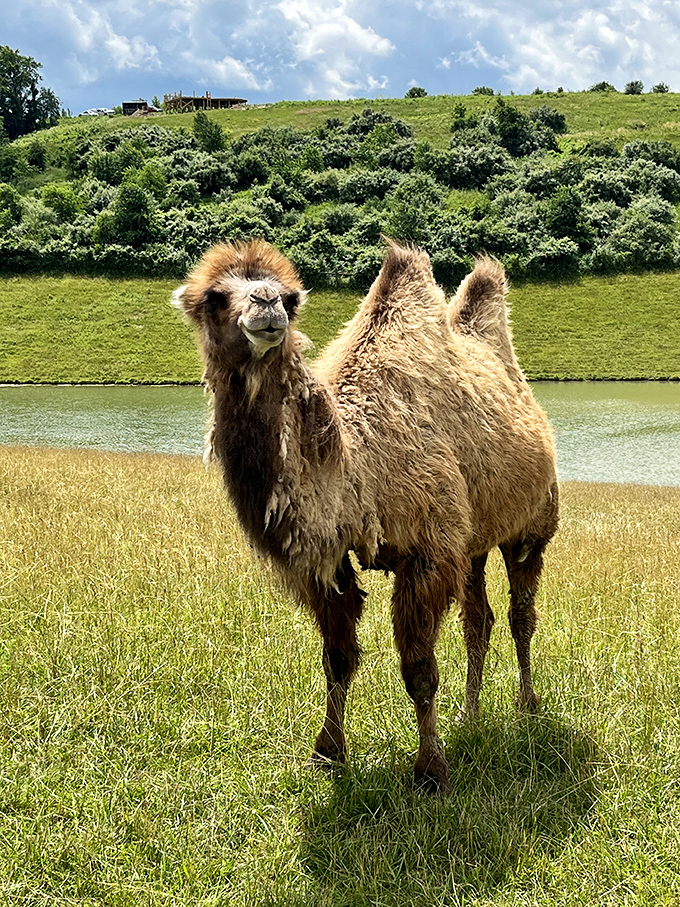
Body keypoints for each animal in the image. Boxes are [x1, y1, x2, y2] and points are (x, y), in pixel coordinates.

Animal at [173, 238, 558, 793]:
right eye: (215, 297)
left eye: (290, 299)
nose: (266, 305)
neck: (356, 463)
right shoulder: (330, 564)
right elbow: (337, 658)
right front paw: (328, 753)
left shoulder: (428, 552)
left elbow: (419, 668)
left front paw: (431, 771)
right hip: (474, 542)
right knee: (479, 619)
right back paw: (470, 715)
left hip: (532, 525)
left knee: (519, 615)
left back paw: (527, 708)